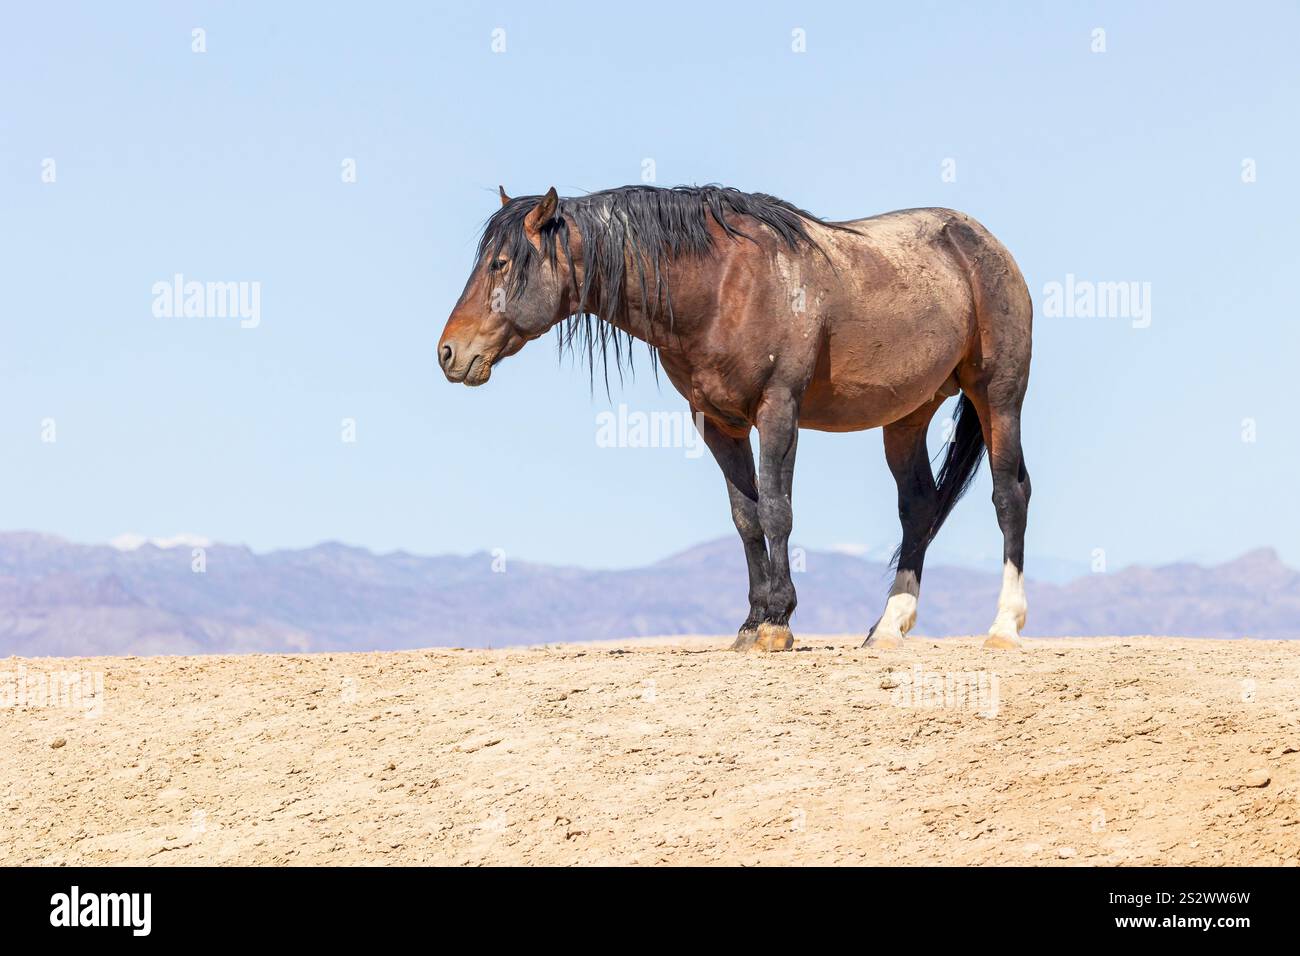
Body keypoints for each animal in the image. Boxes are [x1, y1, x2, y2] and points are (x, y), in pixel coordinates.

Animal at [438, 184, 1032, 652]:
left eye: (501, 263)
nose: (448, 353)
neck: (722, 286)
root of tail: (982, 241)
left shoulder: (777, 410)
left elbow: (776, 510)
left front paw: (779, 622)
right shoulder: (717, 422)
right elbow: (745, 517)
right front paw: (753, 620)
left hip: (998, 396)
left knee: (1009, 494)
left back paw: (1004, 626)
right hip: (908, 415)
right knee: (918, 506)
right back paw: (887, 626)